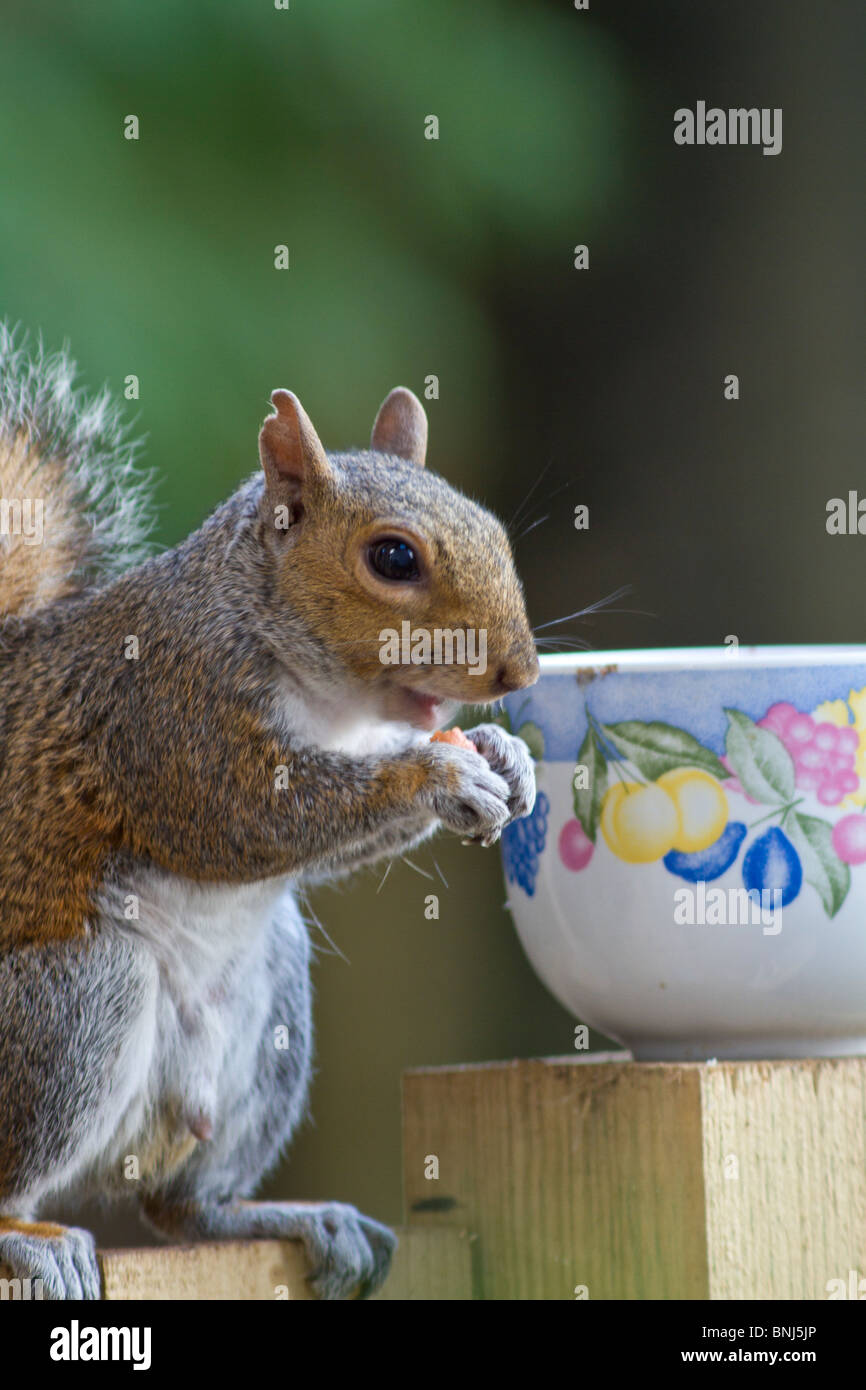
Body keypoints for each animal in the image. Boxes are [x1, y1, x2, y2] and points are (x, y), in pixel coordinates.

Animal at [0, 326, 538, 1300]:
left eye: (495, 531)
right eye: (393, 558)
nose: (522, 673)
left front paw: (505, 759)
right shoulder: (168, 716)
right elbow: (247, 820)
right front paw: (437, 777)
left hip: (269, 1018)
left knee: (178, 1208)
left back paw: (284, 1216)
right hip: (74, 1002)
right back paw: (26, 1239)